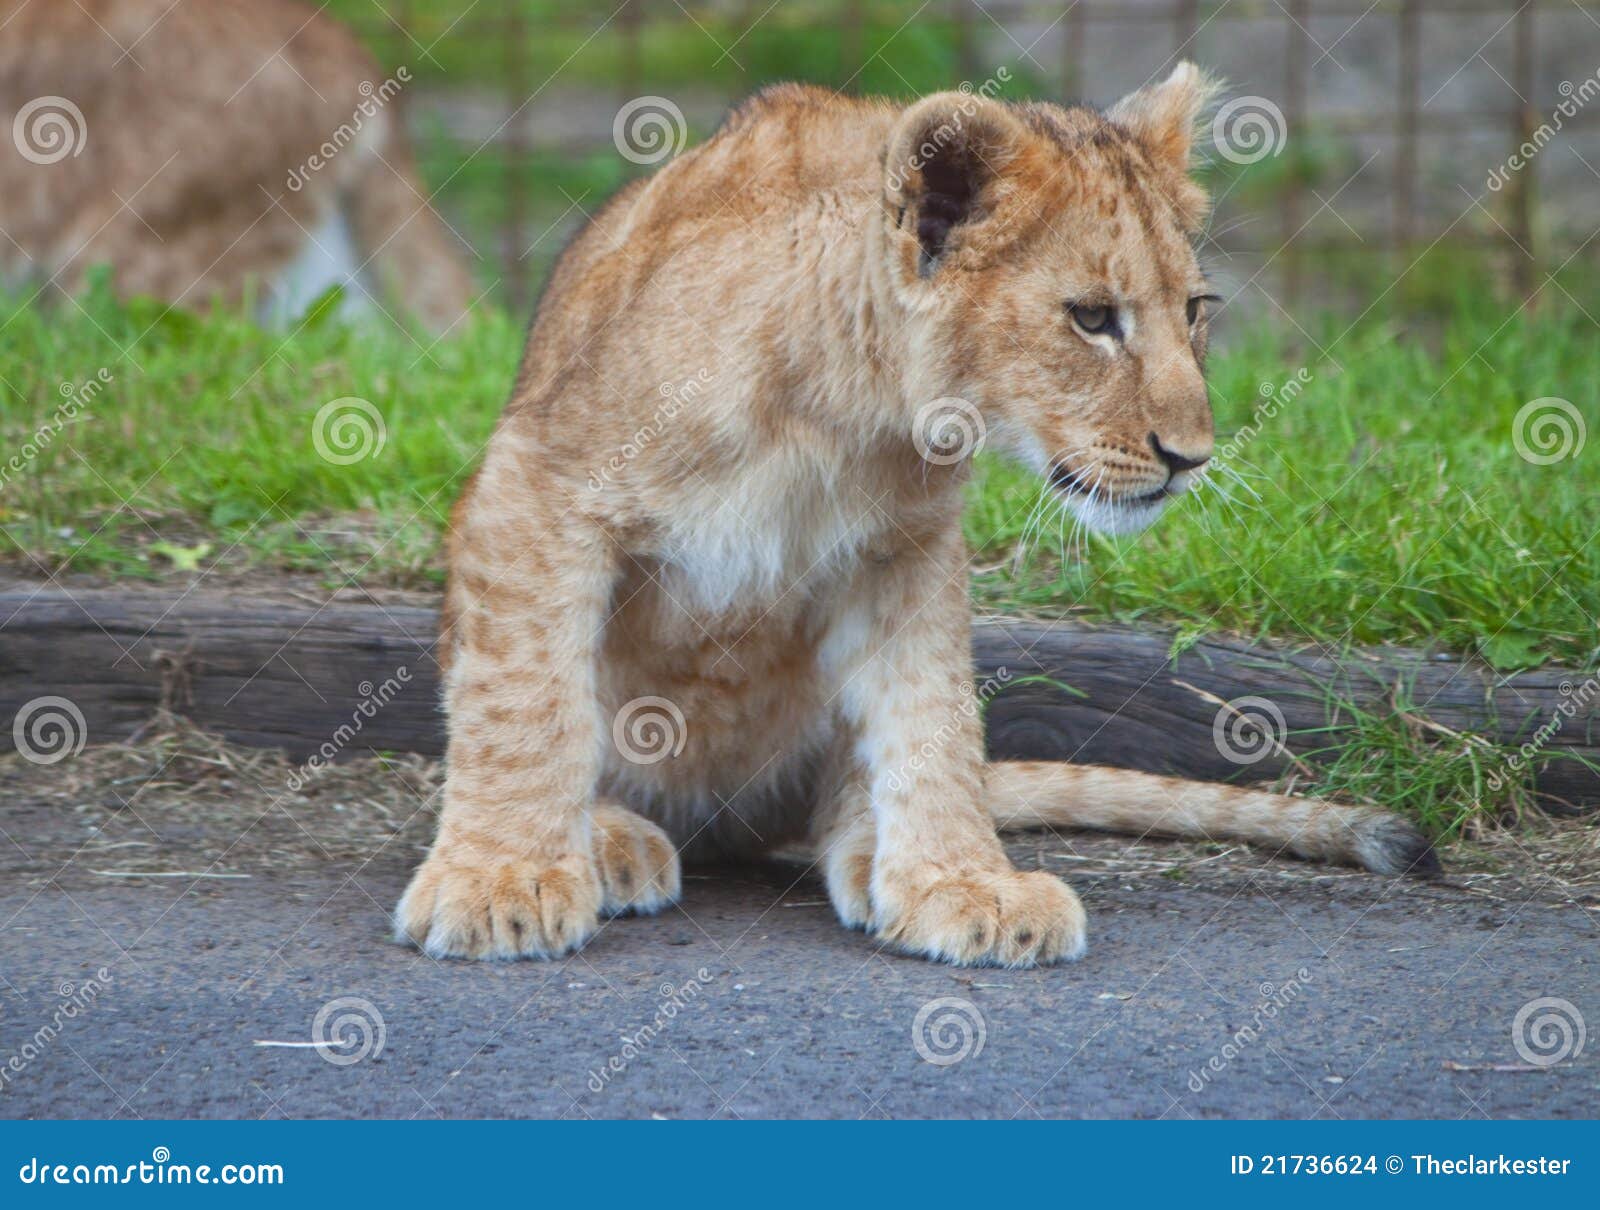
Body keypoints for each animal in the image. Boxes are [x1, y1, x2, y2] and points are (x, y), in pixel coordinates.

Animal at [397, 66, 1438, 968]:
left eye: (1194, 311)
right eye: (1092, 318)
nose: (1193, 459)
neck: (840, 408)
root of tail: (728, 822)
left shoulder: (909, 548)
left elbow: (932, 717)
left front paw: (961, 883)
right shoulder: (536, 482)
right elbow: (526, 700)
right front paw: (504, 881)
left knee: (840, 803)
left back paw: (869, 855)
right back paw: (611, 839)